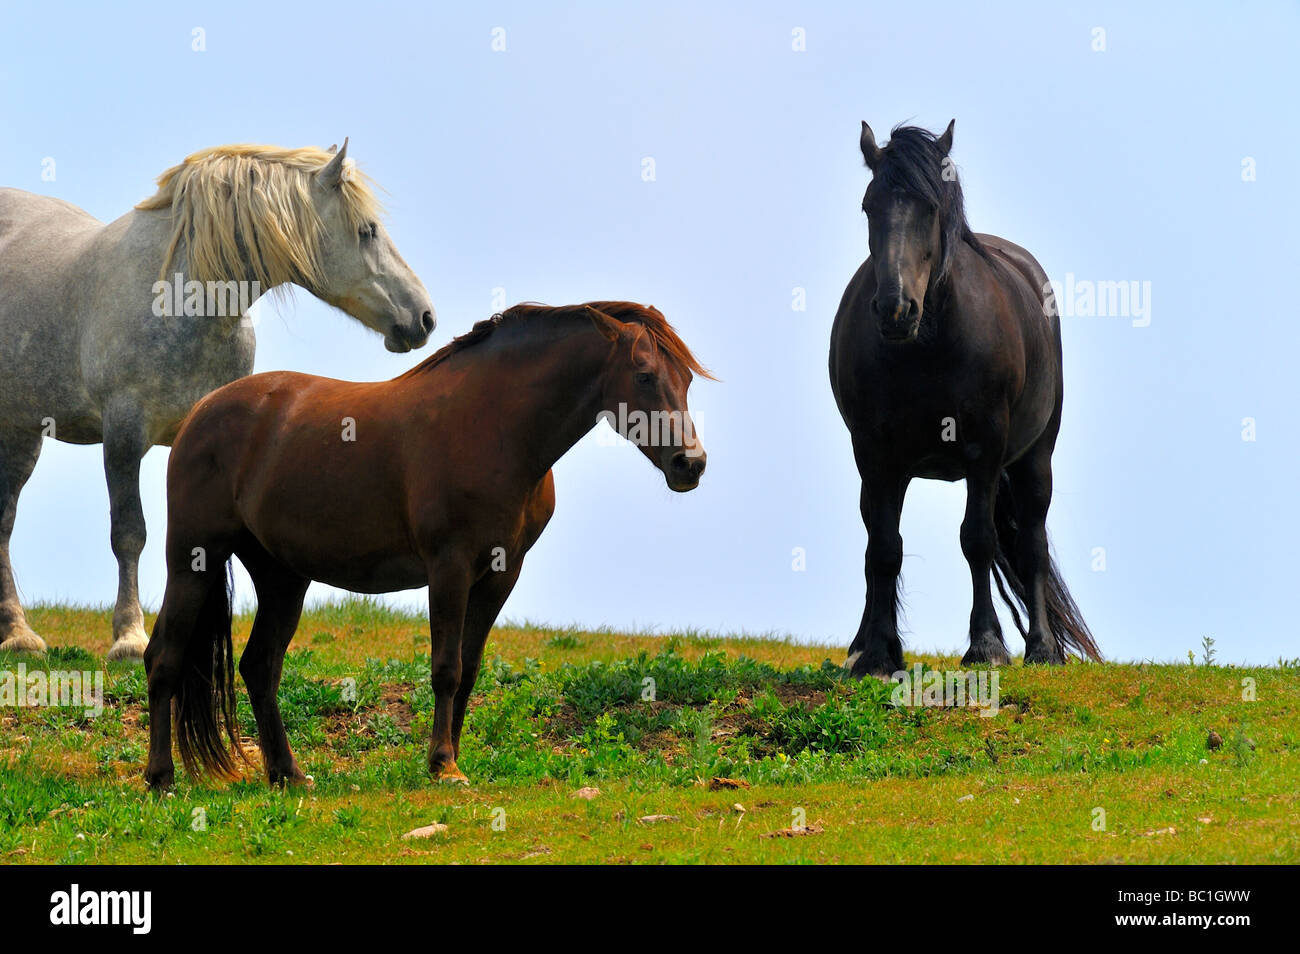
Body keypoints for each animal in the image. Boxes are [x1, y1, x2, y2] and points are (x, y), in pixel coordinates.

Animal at [0, 140, 435, 662]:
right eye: (367, 230)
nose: (424, 318)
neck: (181, 297)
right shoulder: (123, 435)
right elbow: (130, 533)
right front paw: (129, 637)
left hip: (22, 433)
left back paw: (16, 632)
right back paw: (18, 633)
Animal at [142, 301, 711, 789]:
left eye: (685, 379)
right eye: (644, 375)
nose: (691, 464)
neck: (494, 425)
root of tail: (199, 414)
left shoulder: (500, 575)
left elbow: (470, 670)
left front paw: (451, 758)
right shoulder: (449, 567)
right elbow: (445, 668)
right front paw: (443, 764)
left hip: (282, 577)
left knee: (259, 666)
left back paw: (288, 773)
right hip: (193, 560)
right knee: (163, 657)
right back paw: (161, 777)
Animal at [829, 120, 1101, 678]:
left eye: (931, 208)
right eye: (869, 205)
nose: (895, 309)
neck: (928, 346)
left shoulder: (985, 448)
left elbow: (978, 539)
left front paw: (987, 646)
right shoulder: (875, 455)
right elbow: (883, 547)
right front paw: (877, 654)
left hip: (1035, 457)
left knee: (1032, 541)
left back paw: (1042, 649)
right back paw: (862, 645)